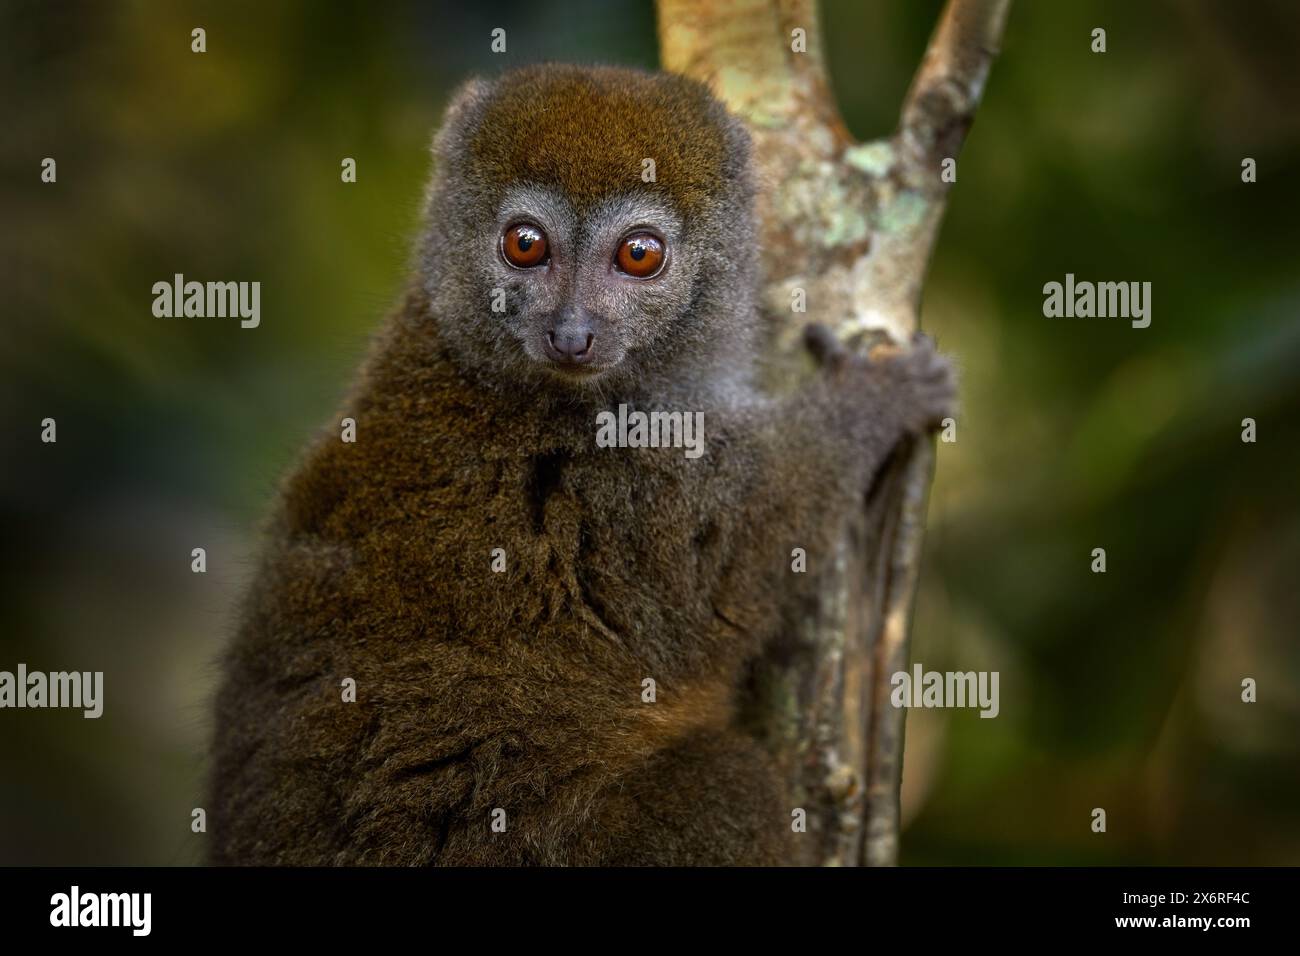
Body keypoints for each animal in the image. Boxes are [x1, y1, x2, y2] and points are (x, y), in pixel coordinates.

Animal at [207, 64, 955, 866]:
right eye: (525, 245)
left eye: (639, 254)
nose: (571, 333)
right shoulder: (621, 494)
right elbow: (740, 547)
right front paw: (875, 399)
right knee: (730, 790)